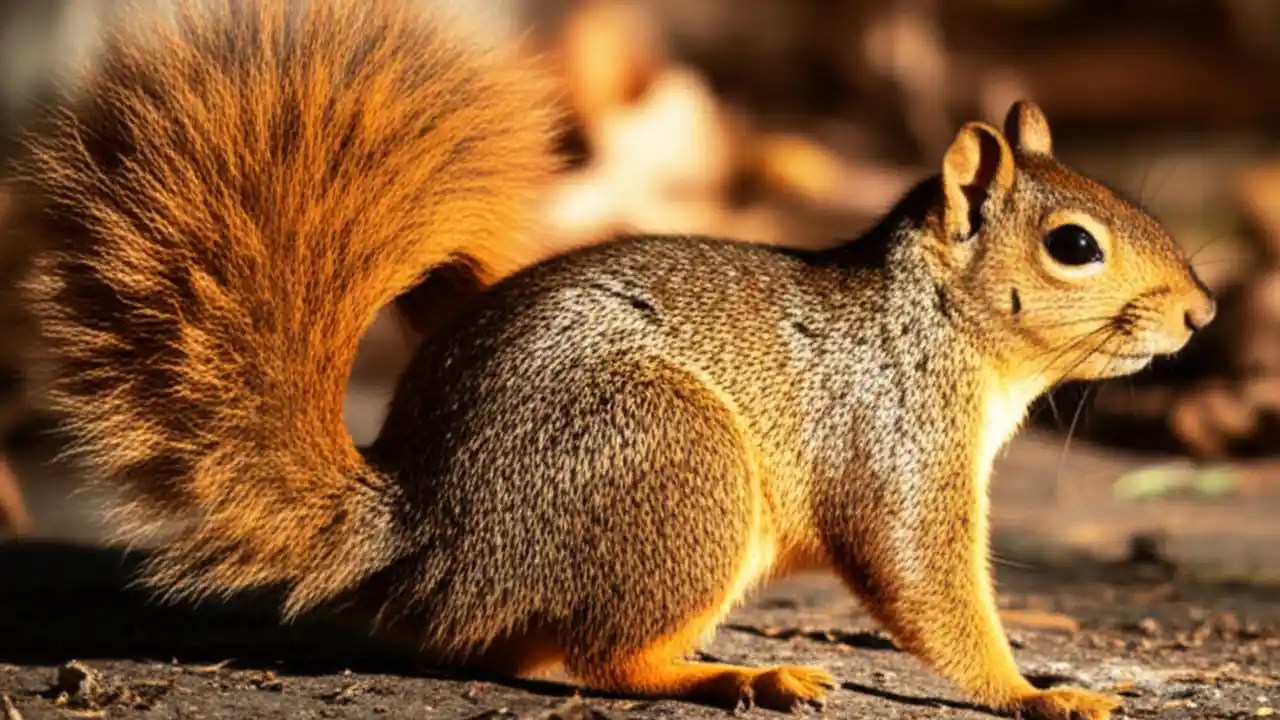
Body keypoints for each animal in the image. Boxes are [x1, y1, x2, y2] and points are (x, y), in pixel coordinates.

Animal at [19, 2, 1214, 719]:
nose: (1202, 314)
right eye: (1073, 246)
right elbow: (923, 583)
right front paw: (1036, 693)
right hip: (676, 466)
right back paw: (745, 671)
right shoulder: (894, 433)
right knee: (610, 660)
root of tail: (432, 529)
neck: (935, 322)